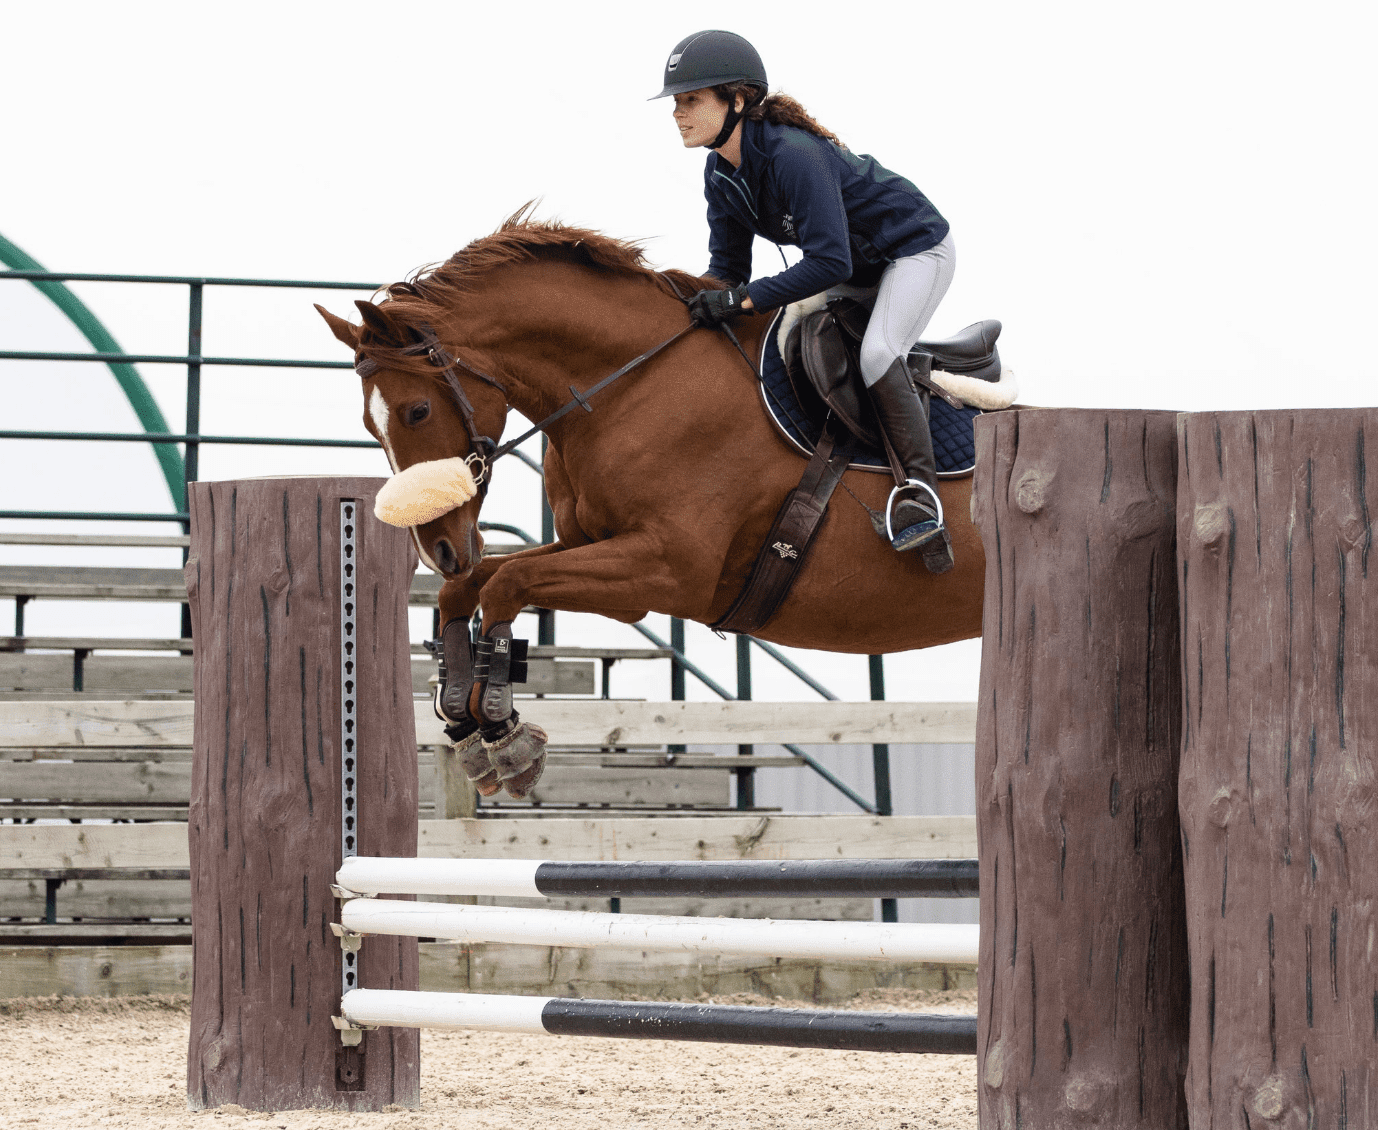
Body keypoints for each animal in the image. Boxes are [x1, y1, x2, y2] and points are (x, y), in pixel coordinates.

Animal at [316, 211, 987, 798]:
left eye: (417, 411)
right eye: (371, 425)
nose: (438, 549)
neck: (632, 386)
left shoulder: (666, 570)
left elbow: (508, 582)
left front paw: (505, 733)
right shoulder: (594, 549)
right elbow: (475, 586)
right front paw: (463, 718)